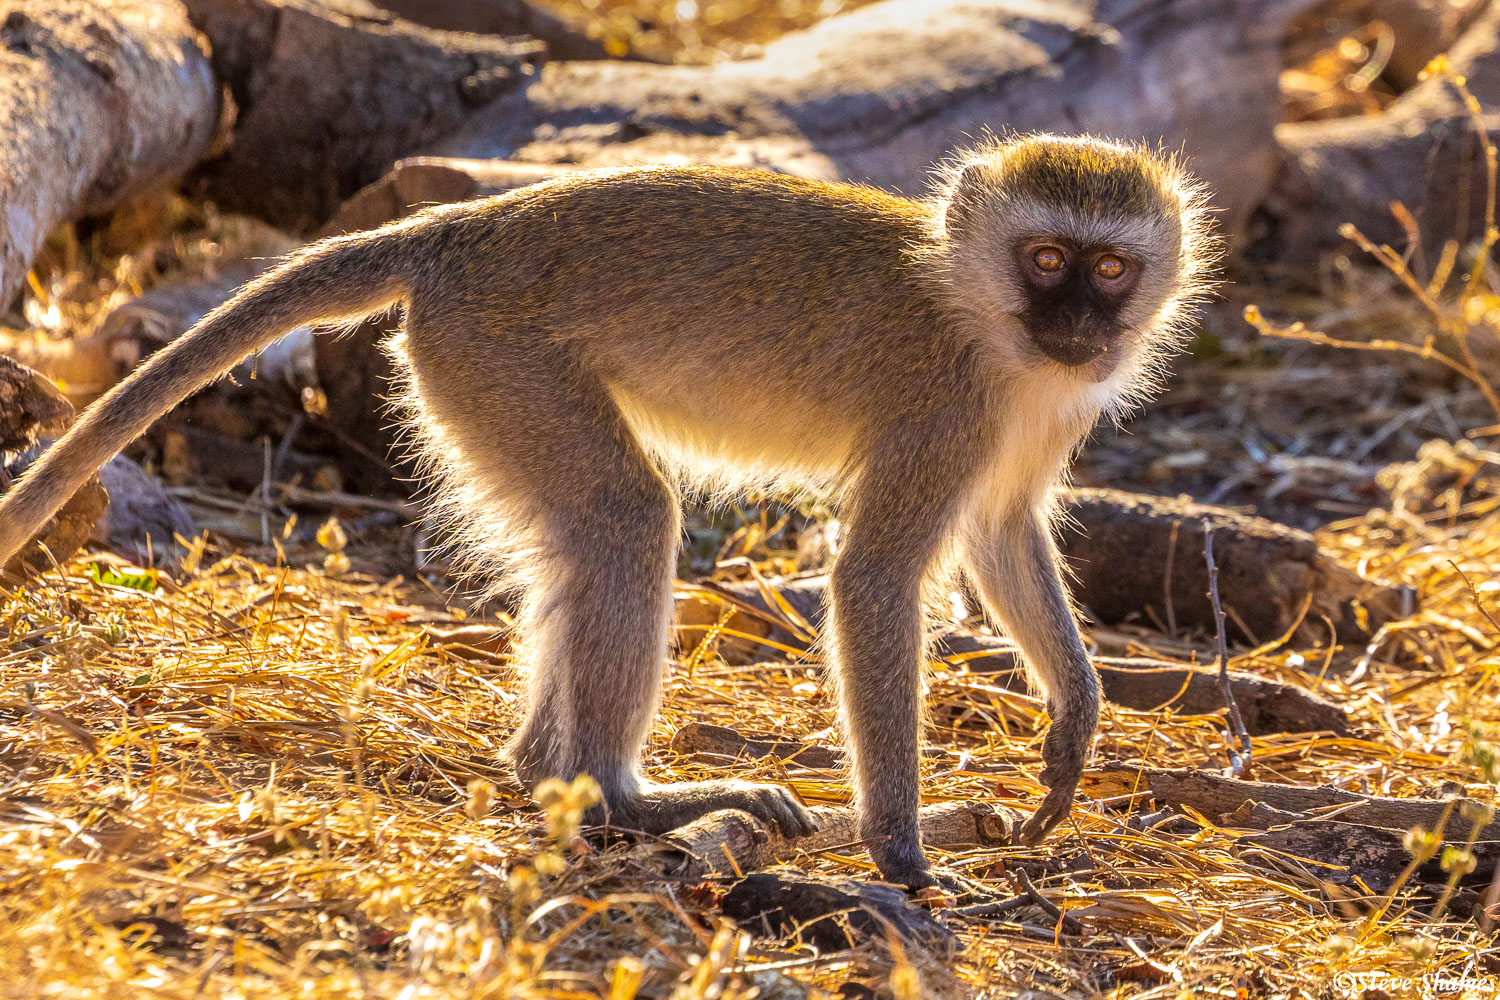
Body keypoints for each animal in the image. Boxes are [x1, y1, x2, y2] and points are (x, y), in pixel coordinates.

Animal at [0, 134, 1215, 890]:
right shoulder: (947, 406)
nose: (1077, 322)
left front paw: (1076, 719)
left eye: (1109, 269)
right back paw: (623, 799)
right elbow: (874, 581)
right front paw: (899, 850)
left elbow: (1002, 536)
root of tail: (455, 229)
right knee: (629, 517)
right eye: (1045, 258)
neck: (986, 318)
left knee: (591, 537)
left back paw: (553, 774)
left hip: (472, 371)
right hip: (492, 355)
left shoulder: (1038, 417)